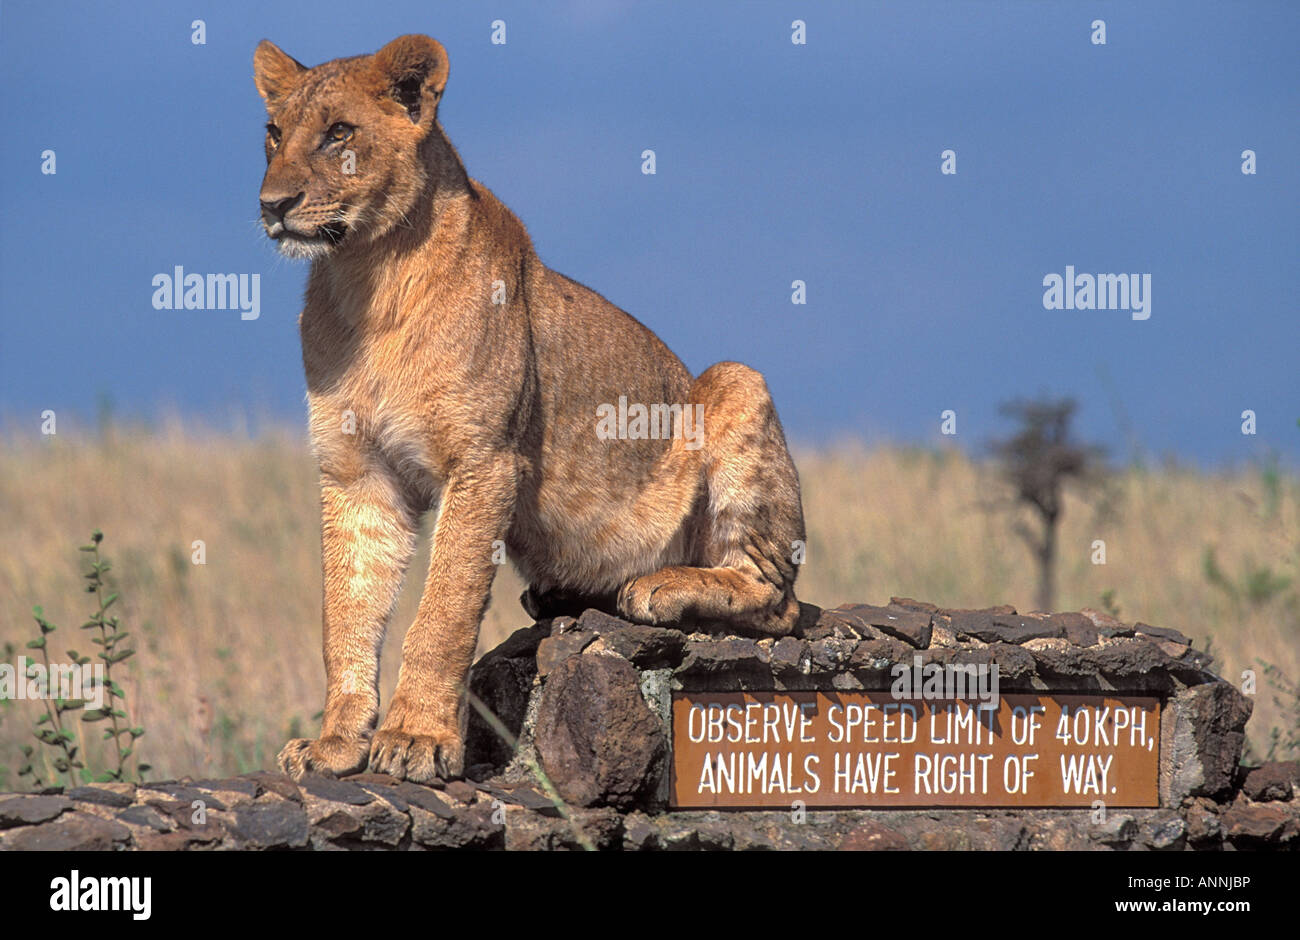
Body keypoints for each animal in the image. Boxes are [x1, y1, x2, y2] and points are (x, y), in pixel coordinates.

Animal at [255, 34, 807, 783]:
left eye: (339, 133)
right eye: (273, 133)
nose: (272, 204)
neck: (367, 277)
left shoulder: (485, 461)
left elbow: (443, 612)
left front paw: (416, 738)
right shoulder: (354, 469)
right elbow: (346, 609)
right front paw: (334, 743)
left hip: (733, 381)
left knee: (779, 601)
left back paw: (658, 587)